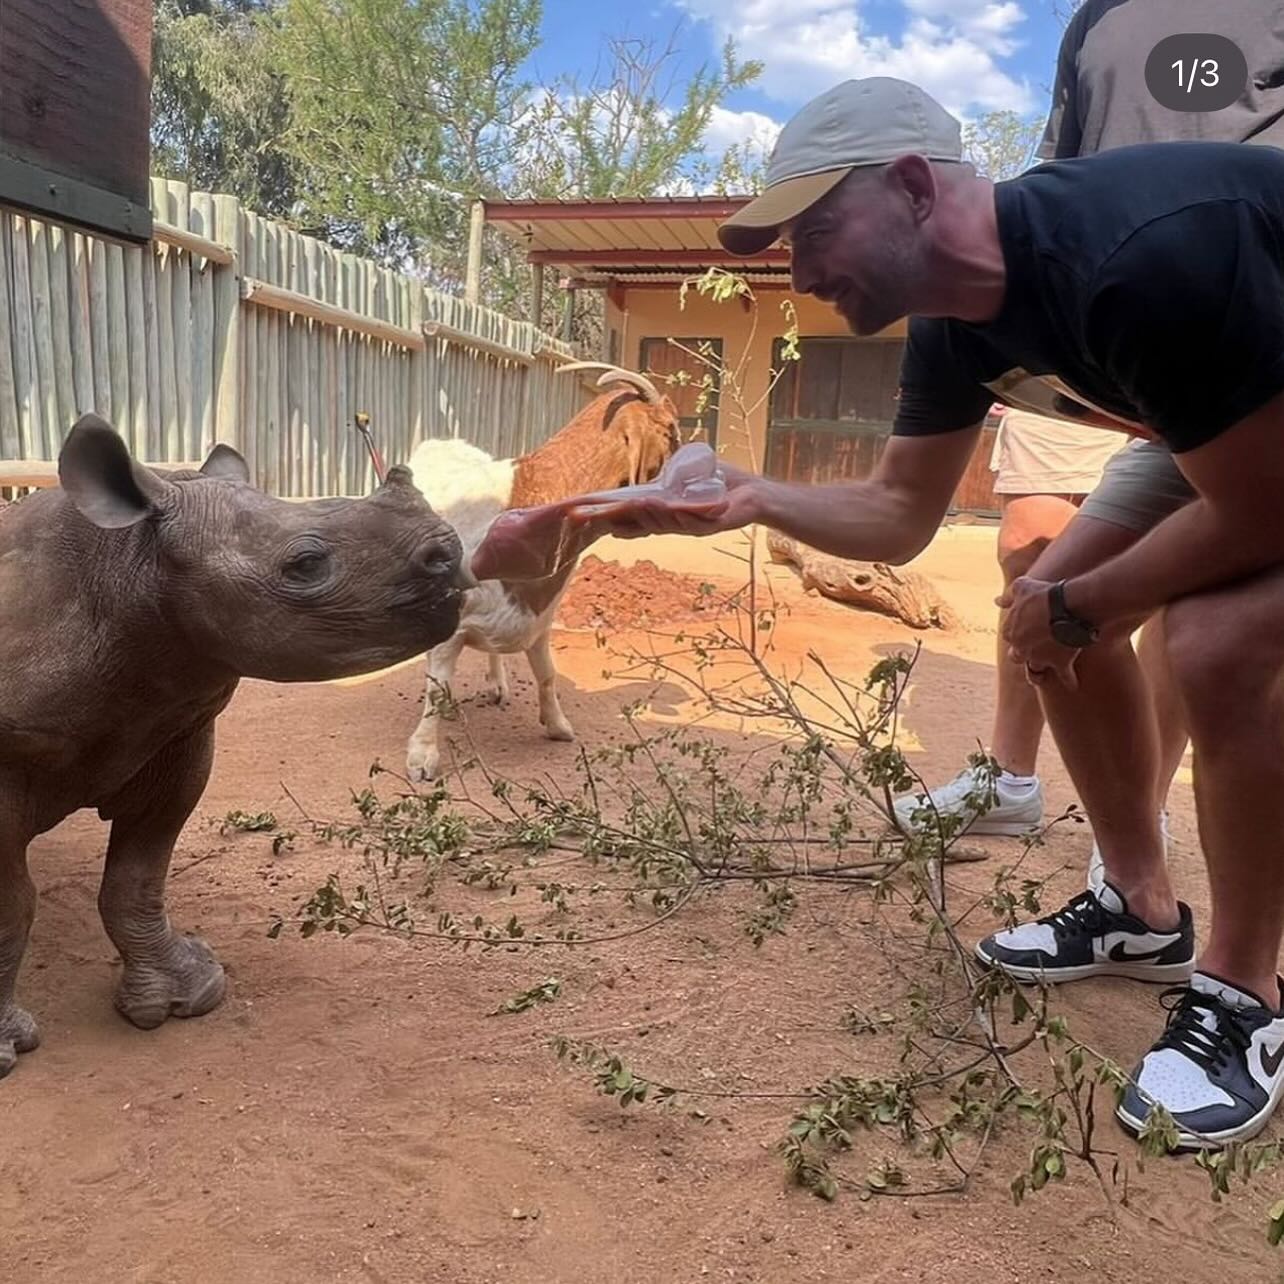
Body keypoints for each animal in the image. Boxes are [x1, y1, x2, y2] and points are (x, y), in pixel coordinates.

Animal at [0, 414, 470, 1077]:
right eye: (305, 563)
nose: (451, 556)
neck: (129, 567)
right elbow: (13, 905)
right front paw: (5, 1053)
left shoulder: (177, 730)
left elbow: (138, 879)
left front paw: (188, 997)